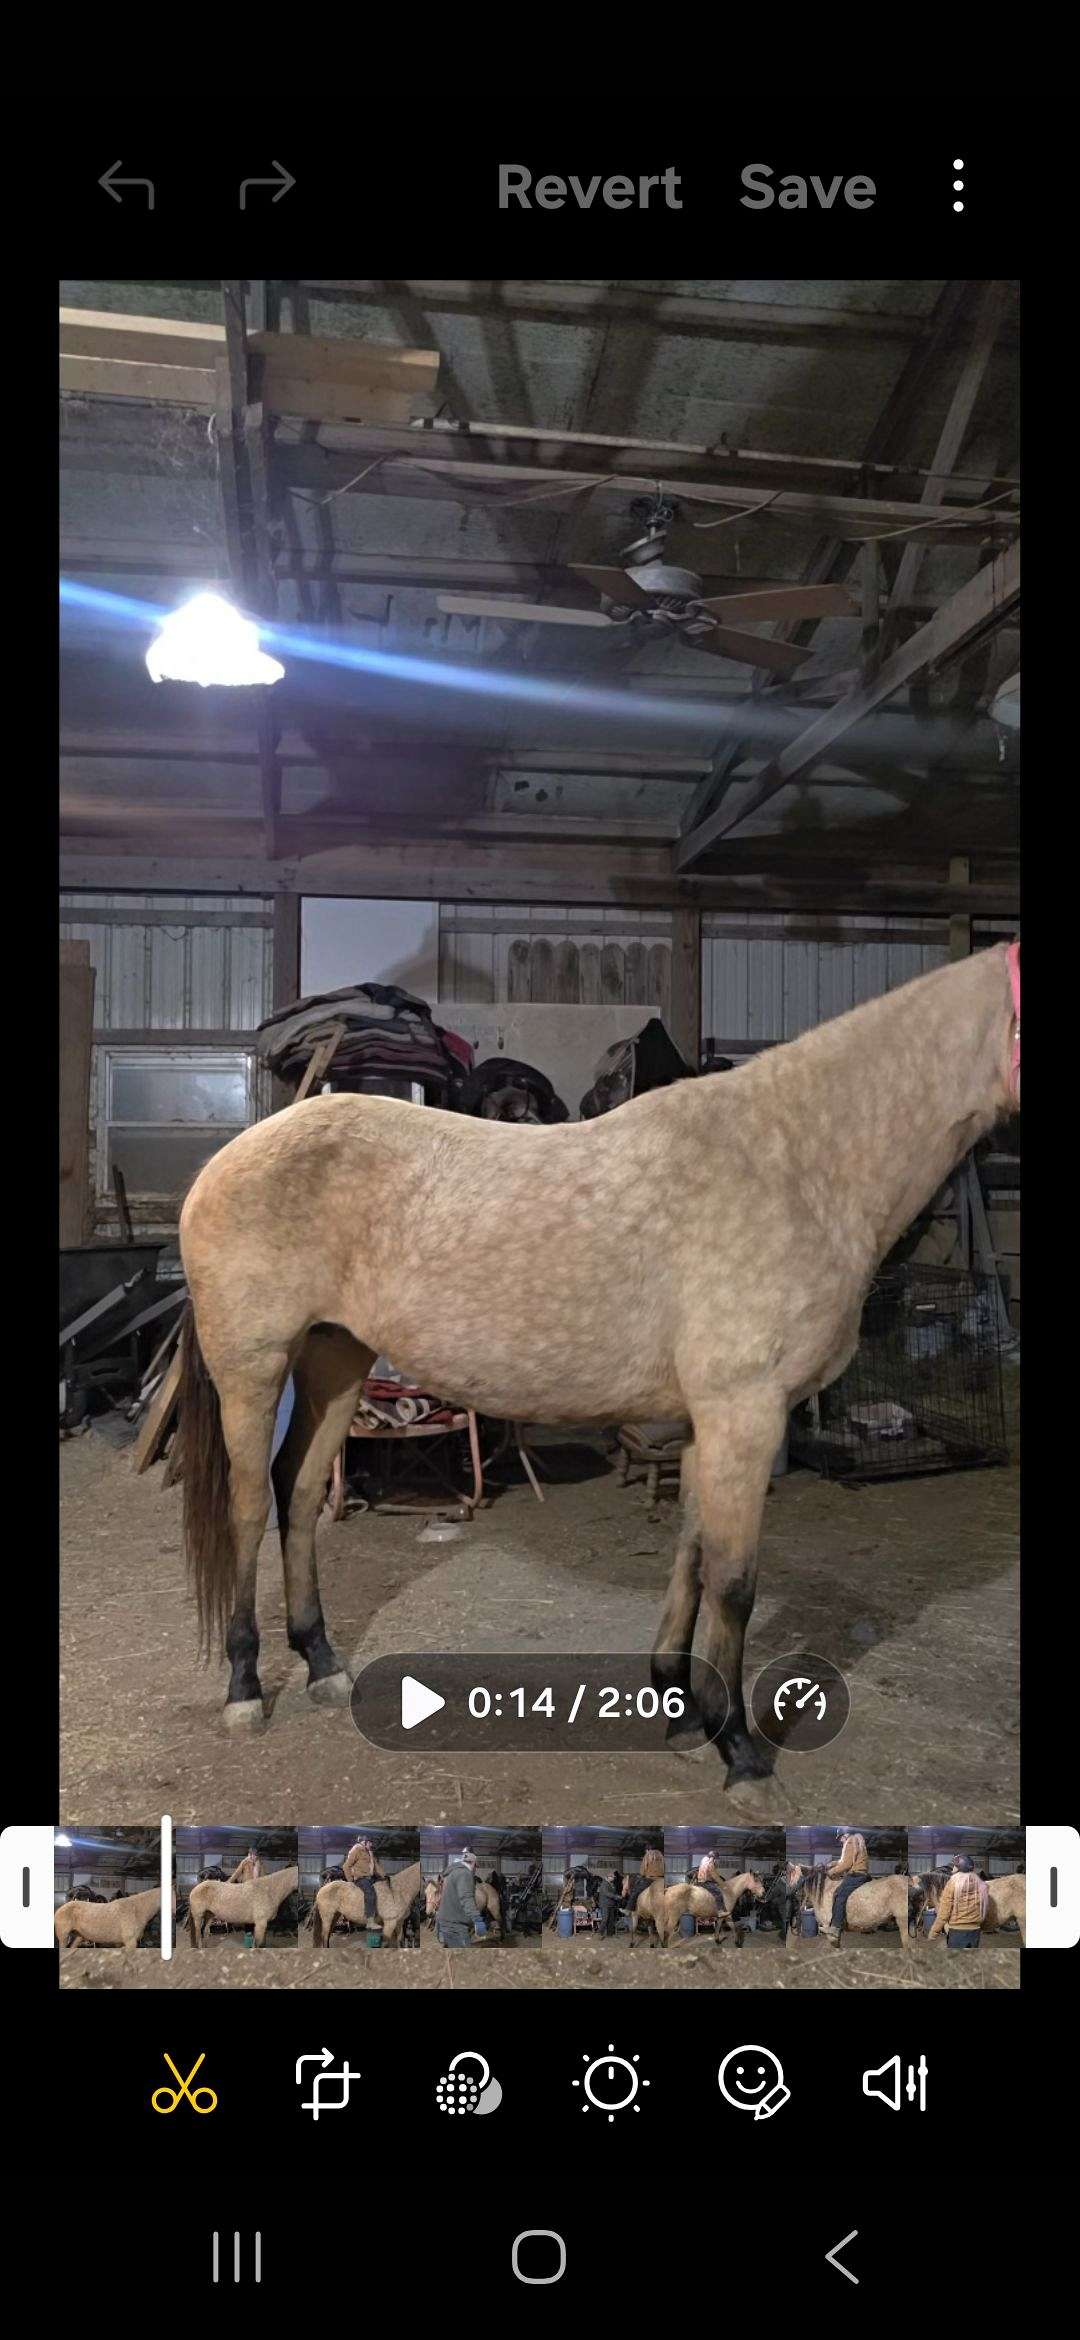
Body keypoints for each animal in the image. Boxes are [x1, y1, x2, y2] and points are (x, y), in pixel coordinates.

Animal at [176, 945, 1020, 1785]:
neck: (795, 1163)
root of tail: (232, 1157)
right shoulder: (745, 1413)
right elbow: (736, 1581)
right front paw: (742, 1754)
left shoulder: (708, 1421)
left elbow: (692, 1555)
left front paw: (682, 1710)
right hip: (254, 1366)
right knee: (250, 1505)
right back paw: (245, 1690)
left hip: (337, 1357)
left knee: (299, 1488)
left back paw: (323, 1664)